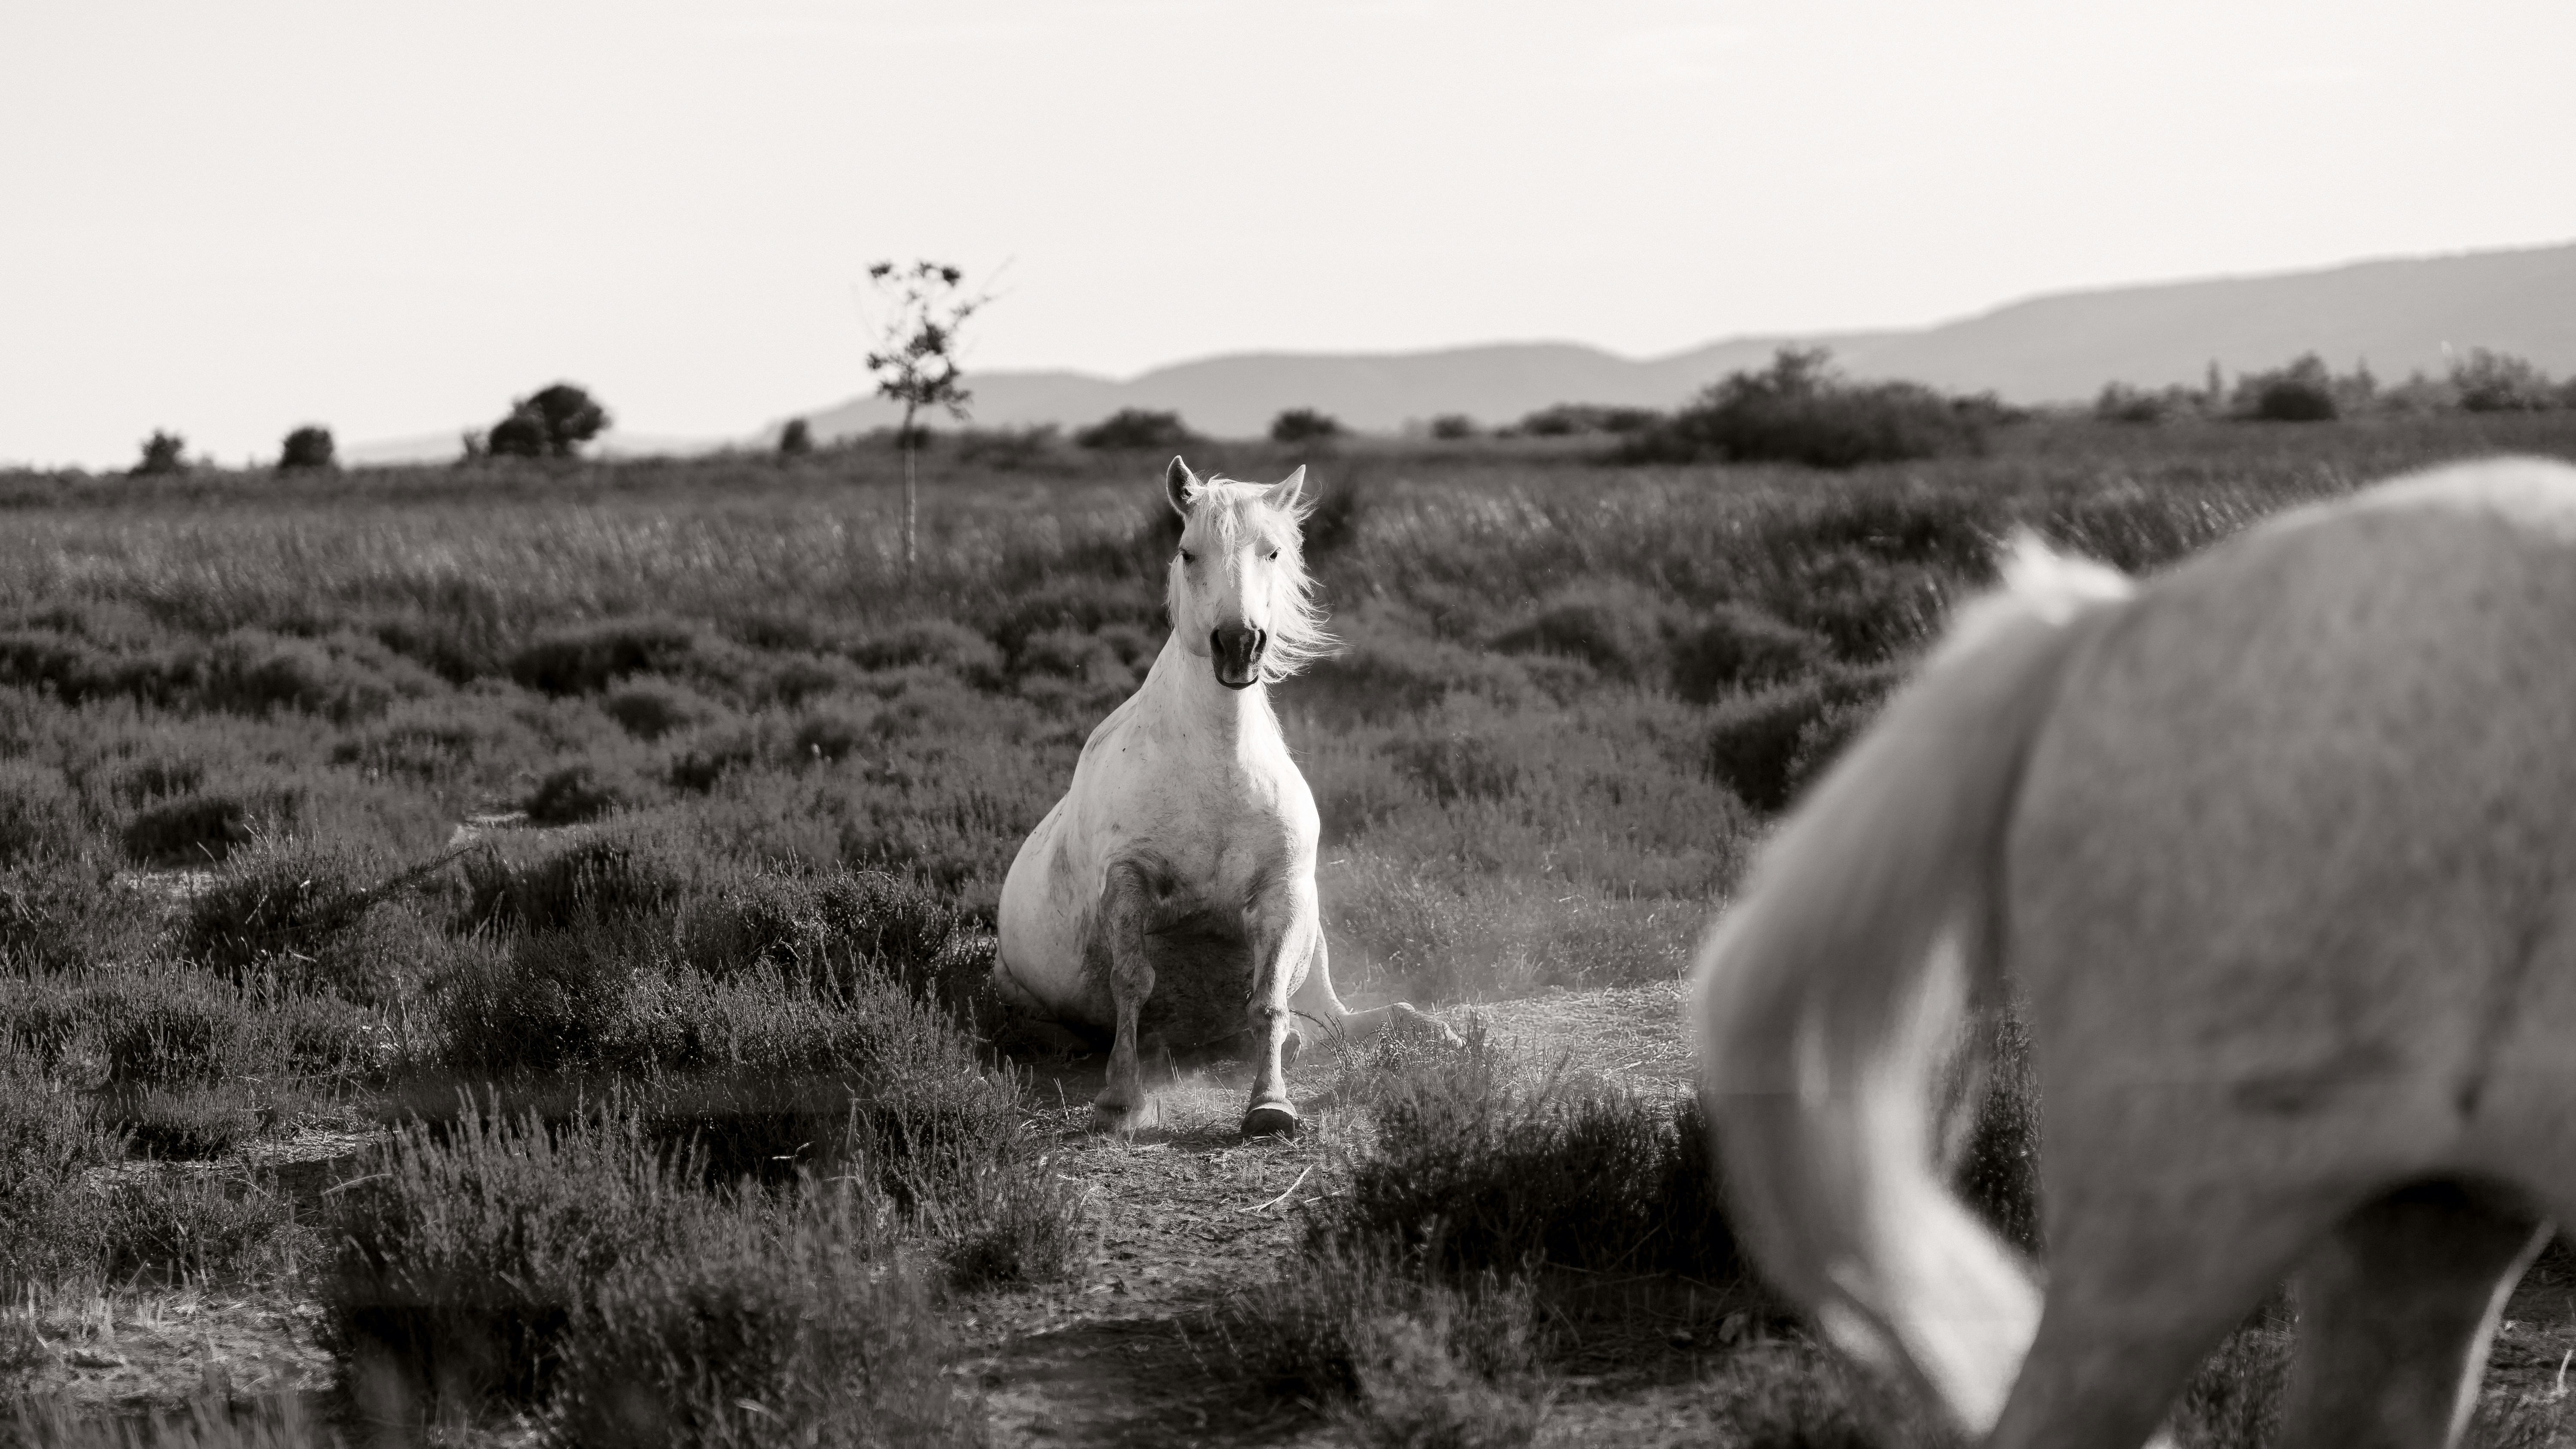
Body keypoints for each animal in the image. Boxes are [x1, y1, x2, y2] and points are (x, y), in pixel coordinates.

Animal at [996, 456, 1451, 1139]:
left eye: (1273, 551)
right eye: (1189, 552)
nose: (1238, 643)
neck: (1217, 766)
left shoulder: (1282, 891)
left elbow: (1268, 1004)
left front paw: (1271, 1102)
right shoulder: (1127, 881)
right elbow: (1132, 981)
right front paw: (1120, 1100)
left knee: (1343, 1020)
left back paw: (1436, 1033)